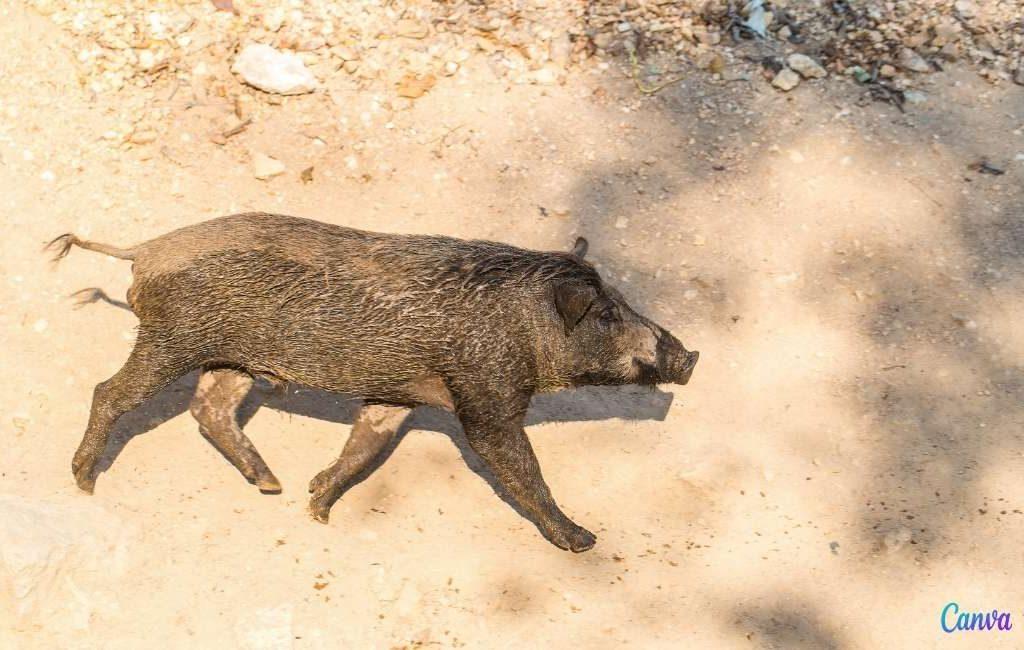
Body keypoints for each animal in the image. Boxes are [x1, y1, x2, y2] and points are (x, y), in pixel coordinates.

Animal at [49, 213, 698, 552]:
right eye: (606, 313)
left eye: (621, 299)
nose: (691, 356)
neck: (521, 326)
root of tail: (143, 250)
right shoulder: (484, 398)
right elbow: (518, 466)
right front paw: (585, 541)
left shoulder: (395, 395)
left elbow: (367, 446)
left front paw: (317, 508)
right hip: (173, 341)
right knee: (111, 392)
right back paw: (84, 482)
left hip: (228, 360)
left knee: (211, 409)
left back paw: (272, 486)